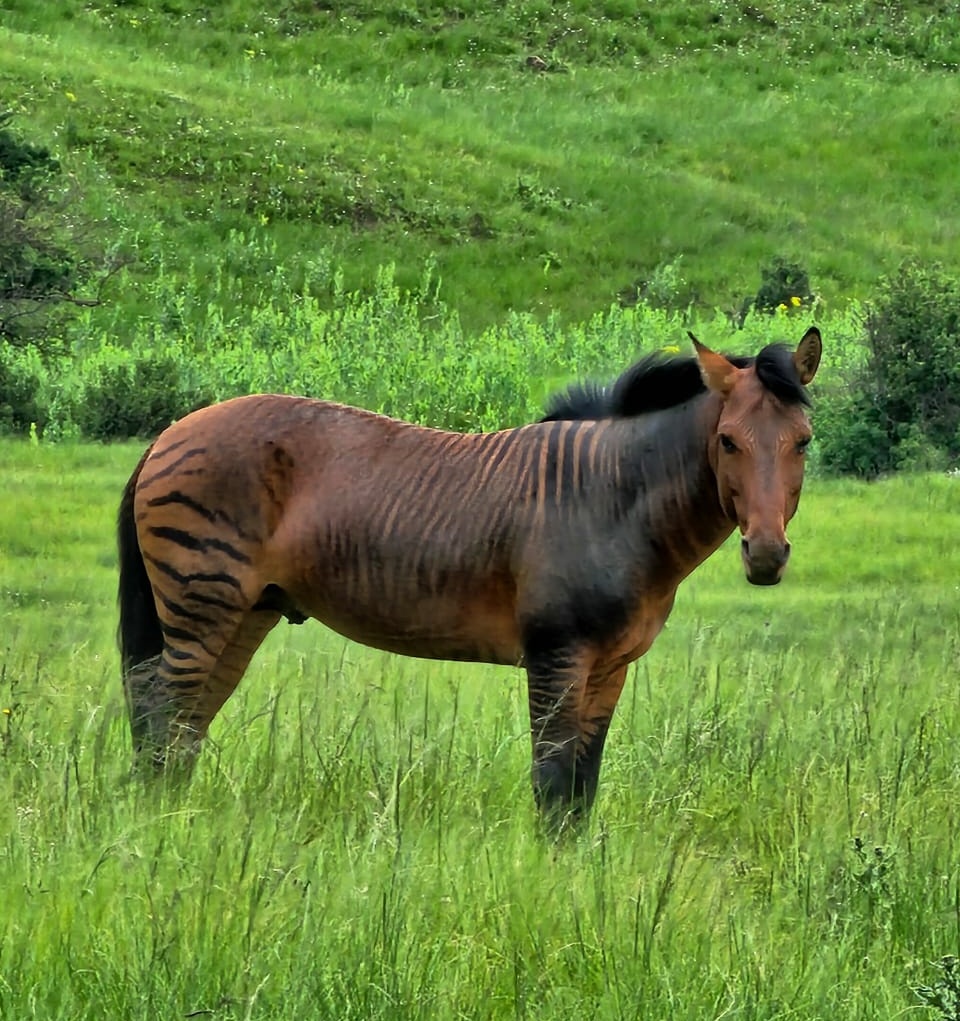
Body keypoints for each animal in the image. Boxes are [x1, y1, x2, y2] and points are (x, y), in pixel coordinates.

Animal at [117, 326, 821, 827]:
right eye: (728, 442)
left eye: (804, 442)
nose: (765, 556)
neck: (612, 500)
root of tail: (170, 431)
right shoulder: (557, 655)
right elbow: (552, 787)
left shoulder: (612, 666)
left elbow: (583, 789)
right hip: (201, 598)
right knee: (161, 716)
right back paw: (162, 837)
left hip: (247, 611)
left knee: (182, 729)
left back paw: (180, 825)